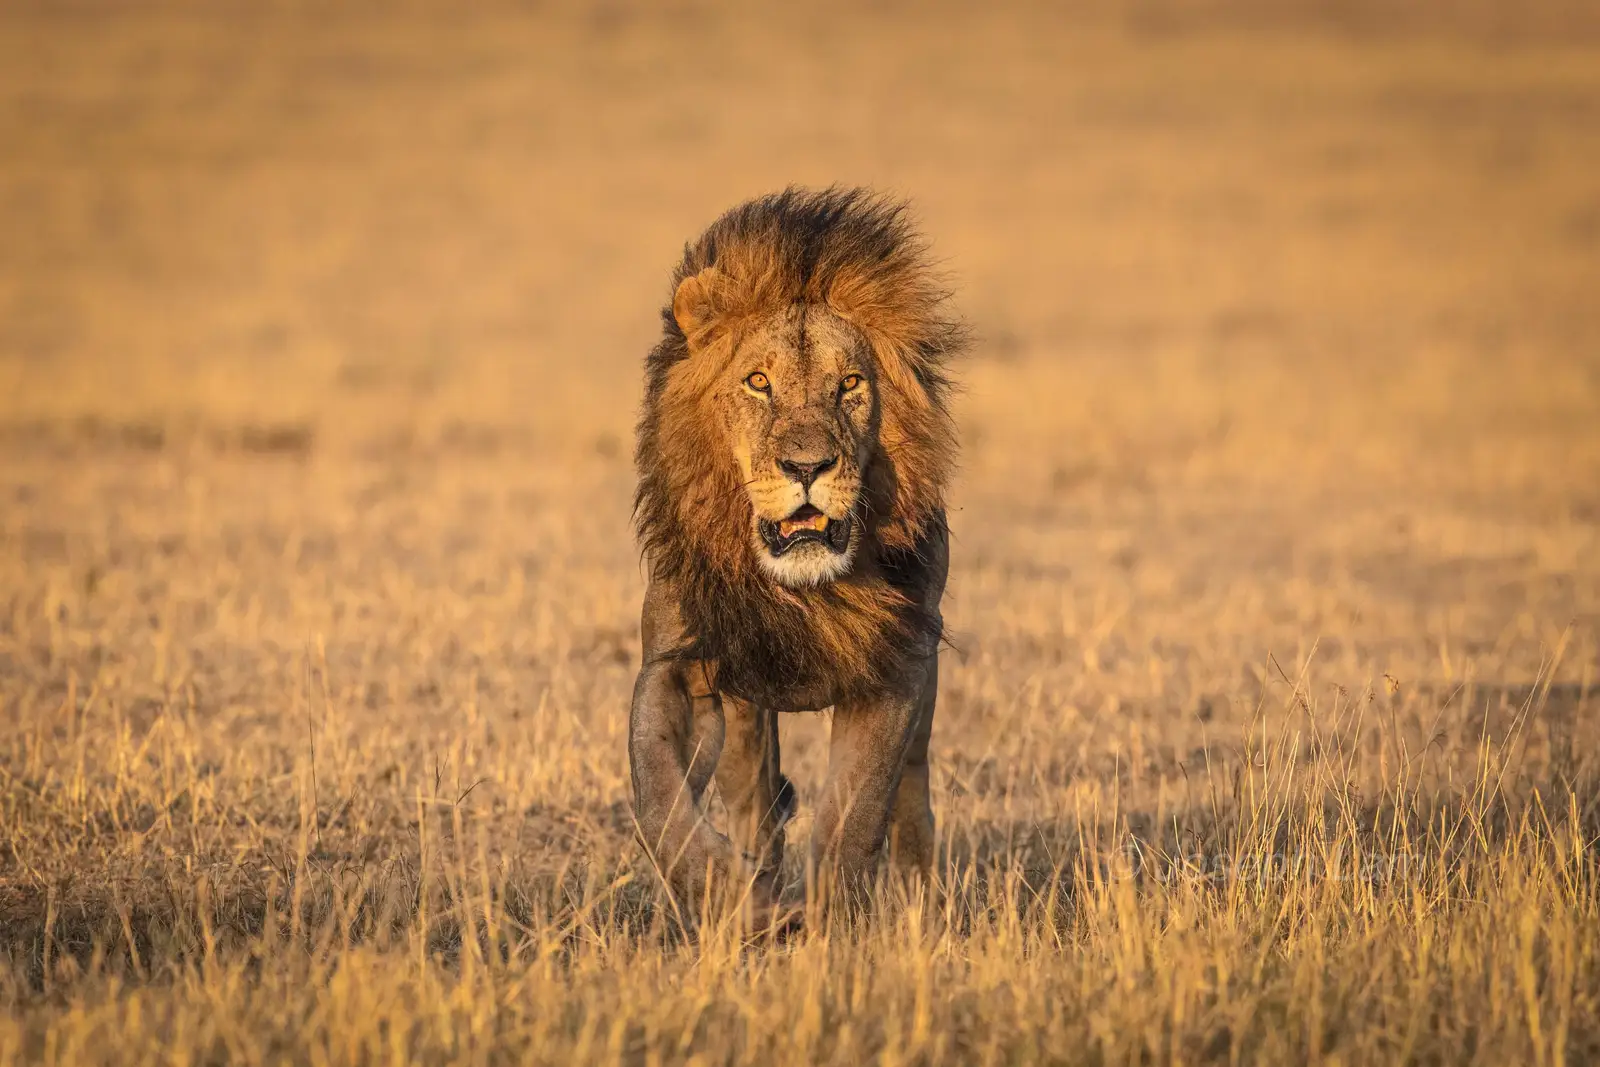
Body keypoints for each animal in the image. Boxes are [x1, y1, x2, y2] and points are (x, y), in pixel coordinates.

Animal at [630, 187, 963, 922]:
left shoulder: (897, 666)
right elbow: (654, 788)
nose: (807, 466)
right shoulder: (680, 665)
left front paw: (830, 922)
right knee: (754, 799)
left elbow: (855, 814)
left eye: (851, 384)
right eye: (758, 382)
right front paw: (722, 889)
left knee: (912, 789)